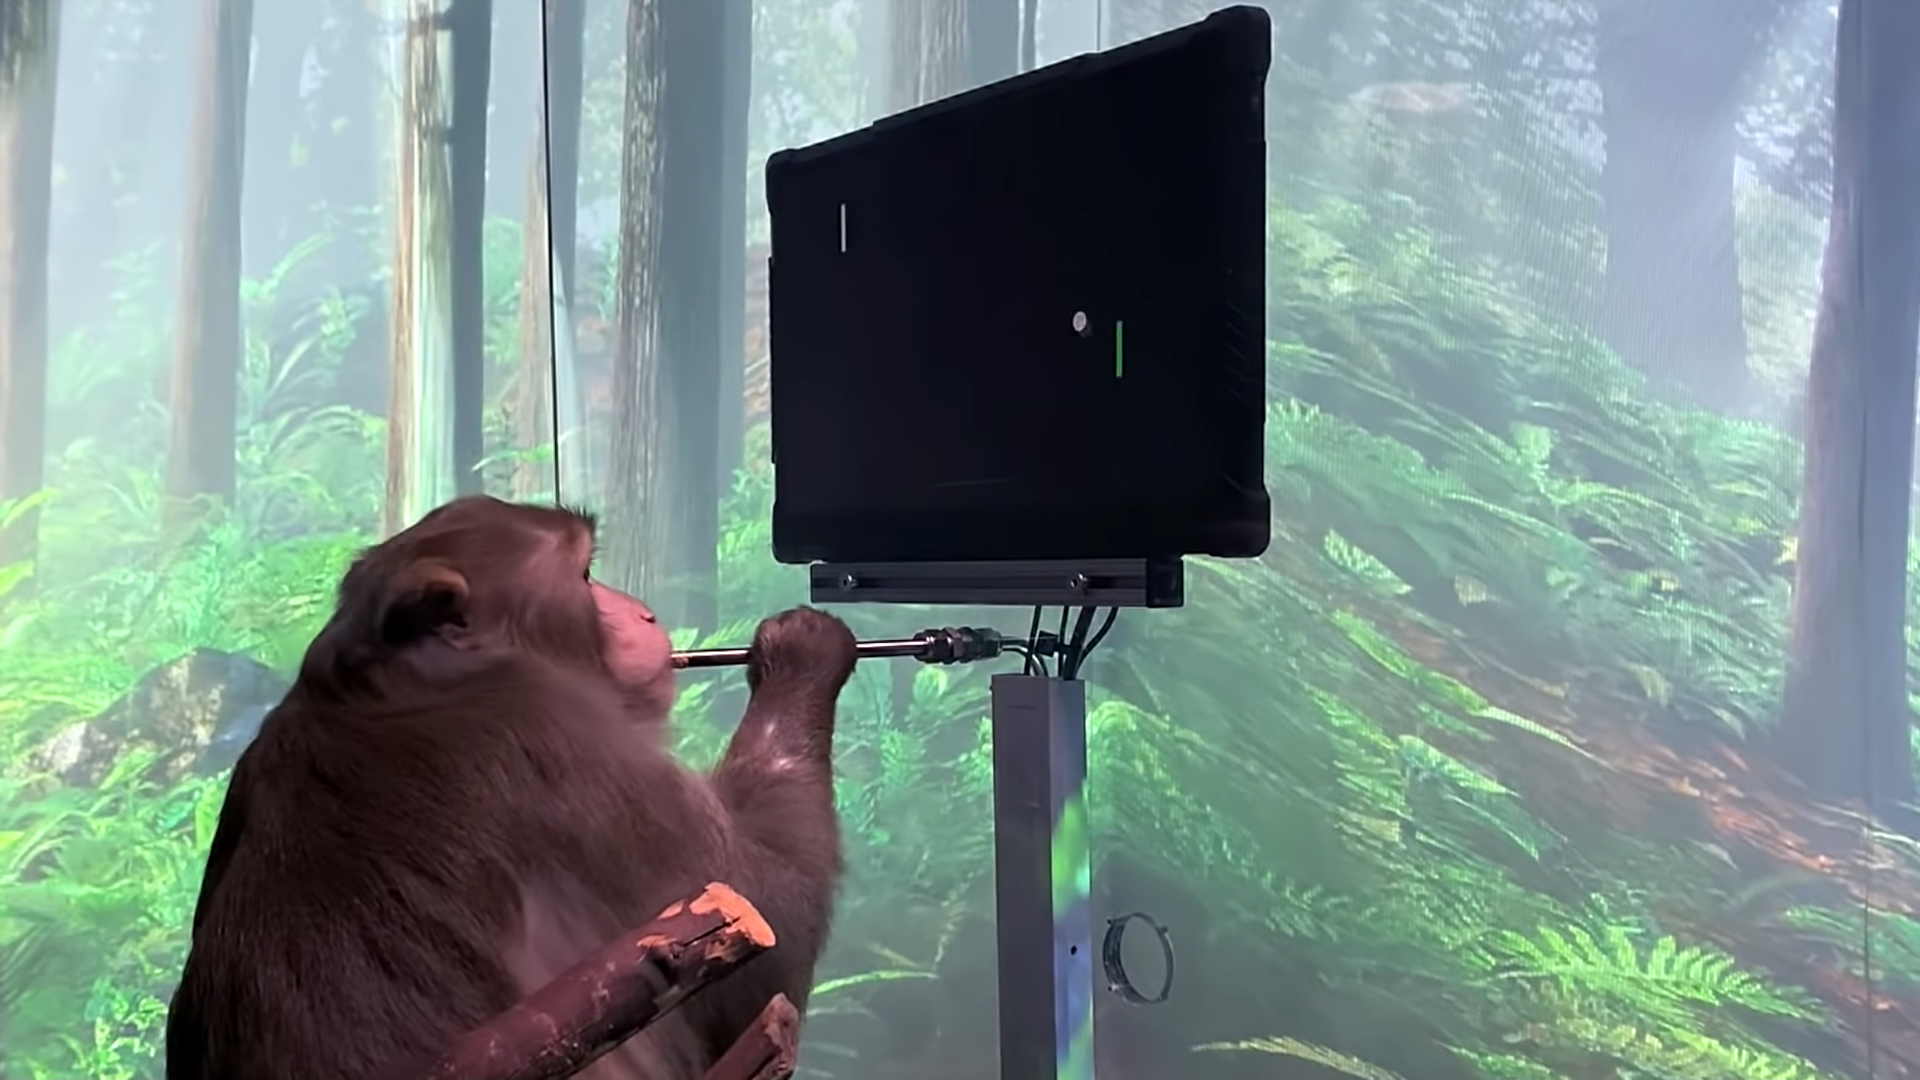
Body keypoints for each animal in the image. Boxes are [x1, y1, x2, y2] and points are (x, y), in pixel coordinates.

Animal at [163, 494, 858, 1080]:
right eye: (585, 576)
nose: (648, 613)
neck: (409, 683)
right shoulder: (572, 746)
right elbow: (764, 927)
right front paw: (802, 652)